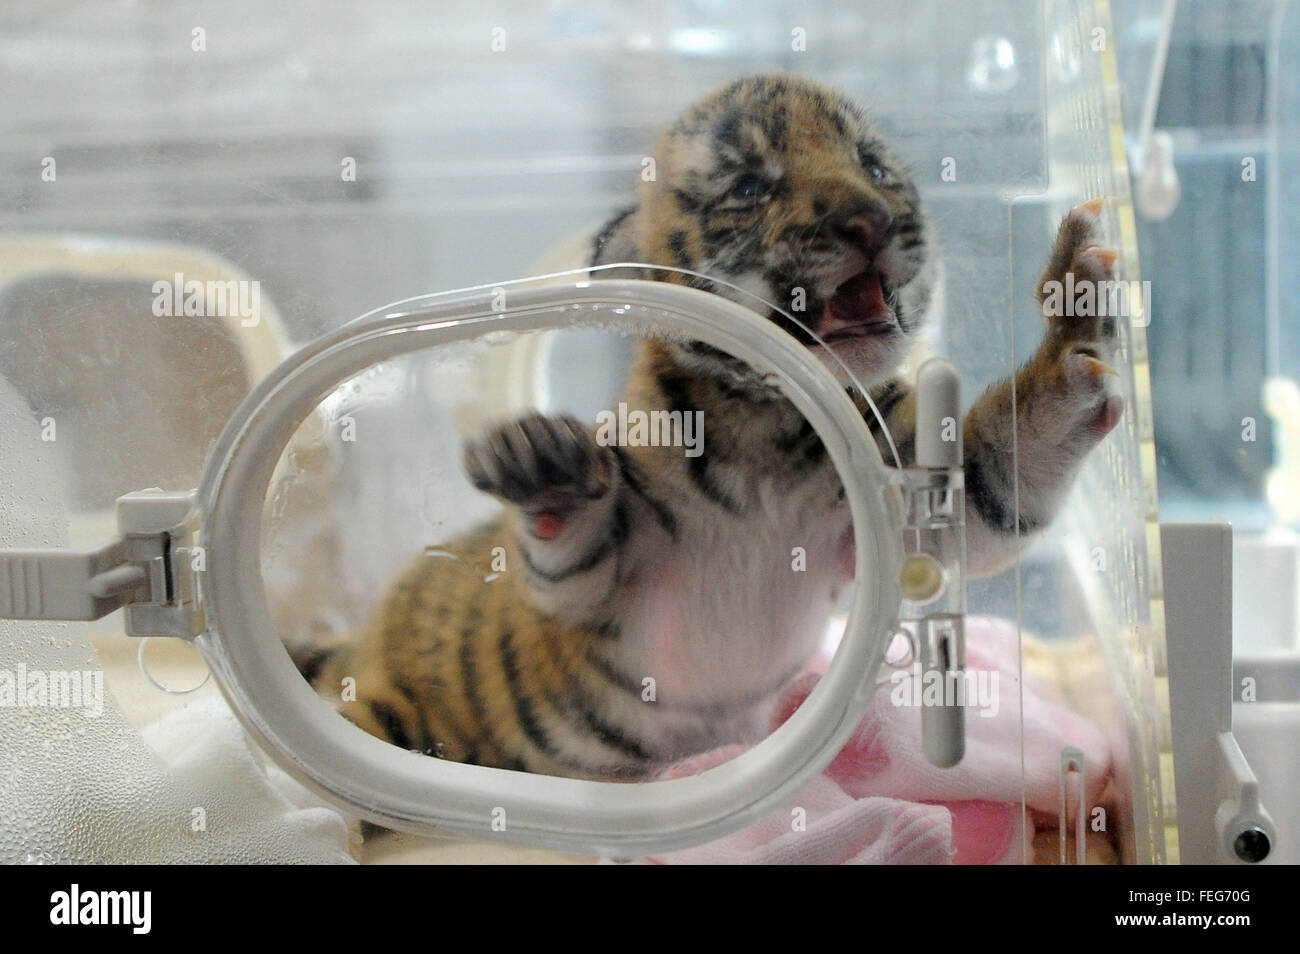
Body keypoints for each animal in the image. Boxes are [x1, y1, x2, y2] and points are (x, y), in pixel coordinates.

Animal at [295, 73, 1124, 783]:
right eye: (751, 186)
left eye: (872, 165)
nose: (873, 220)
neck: (767, 425)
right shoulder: (596, 597)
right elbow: (568, 561)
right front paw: (543, 467)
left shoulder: (911, 515)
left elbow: (1004, 468)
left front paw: (1079, 299)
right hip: (380, 713)